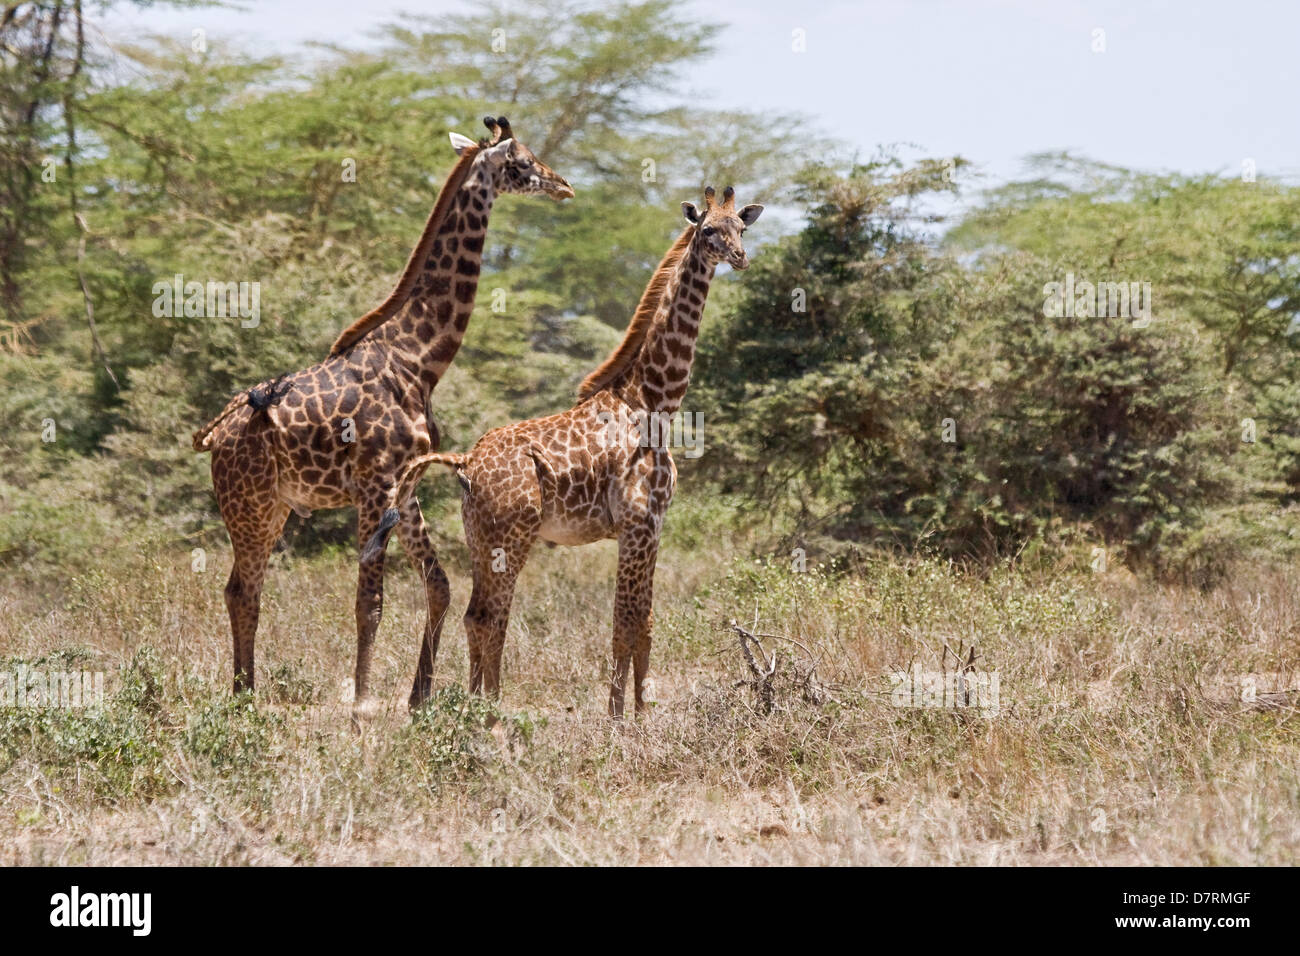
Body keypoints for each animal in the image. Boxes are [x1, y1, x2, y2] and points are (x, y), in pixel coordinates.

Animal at [191, 116, 573, 716]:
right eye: (523, 162)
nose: (564, 185)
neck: (417, 359)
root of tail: (216, 433)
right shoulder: (374, 484)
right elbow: (369, 601)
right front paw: (362, 707)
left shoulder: (404, 485)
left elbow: (438, 585)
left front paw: (419, 699)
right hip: (247, 505)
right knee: (242, 589)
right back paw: (243, 700)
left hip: (272, 507)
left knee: (240, 589)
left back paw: (245, 696)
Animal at [382, 186, 762, 716]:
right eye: (708, 230)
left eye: (742, 228)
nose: (740, 257)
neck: (655, 401)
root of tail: (465, 463)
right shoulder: (636, 524)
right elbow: (624, 624)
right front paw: (620, 717)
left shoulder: (654, 527)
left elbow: (644, 624)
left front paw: (641, 712)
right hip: (512, 536)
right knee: (488, 617)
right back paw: (491, 714)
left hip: (480, 536)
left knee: (480, 614)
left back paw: (481, 706)